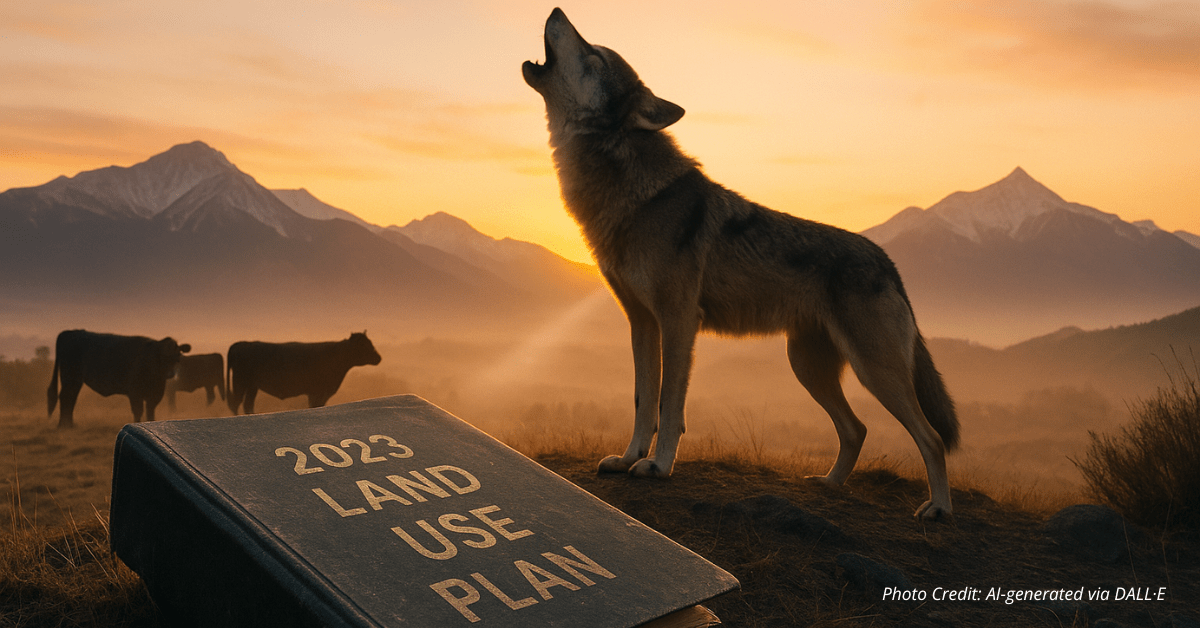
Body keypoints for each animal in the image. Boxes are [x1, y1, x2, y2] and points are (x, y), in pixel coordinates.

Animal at [523, 8, 959, 519]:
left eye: (594, 54)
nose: (556, 11)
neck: (632, 194)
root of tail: (888, 263)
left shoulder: (678, 321)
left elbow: (669, 404)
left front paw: (658, 466)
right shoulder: (641, 324)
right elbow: (642, 401)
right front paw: (629, 458)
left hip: (874, 372)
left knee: (930, 438)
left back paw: (938, 509)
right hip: (807, 366)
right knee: (857, 429)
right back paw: (829, 484)